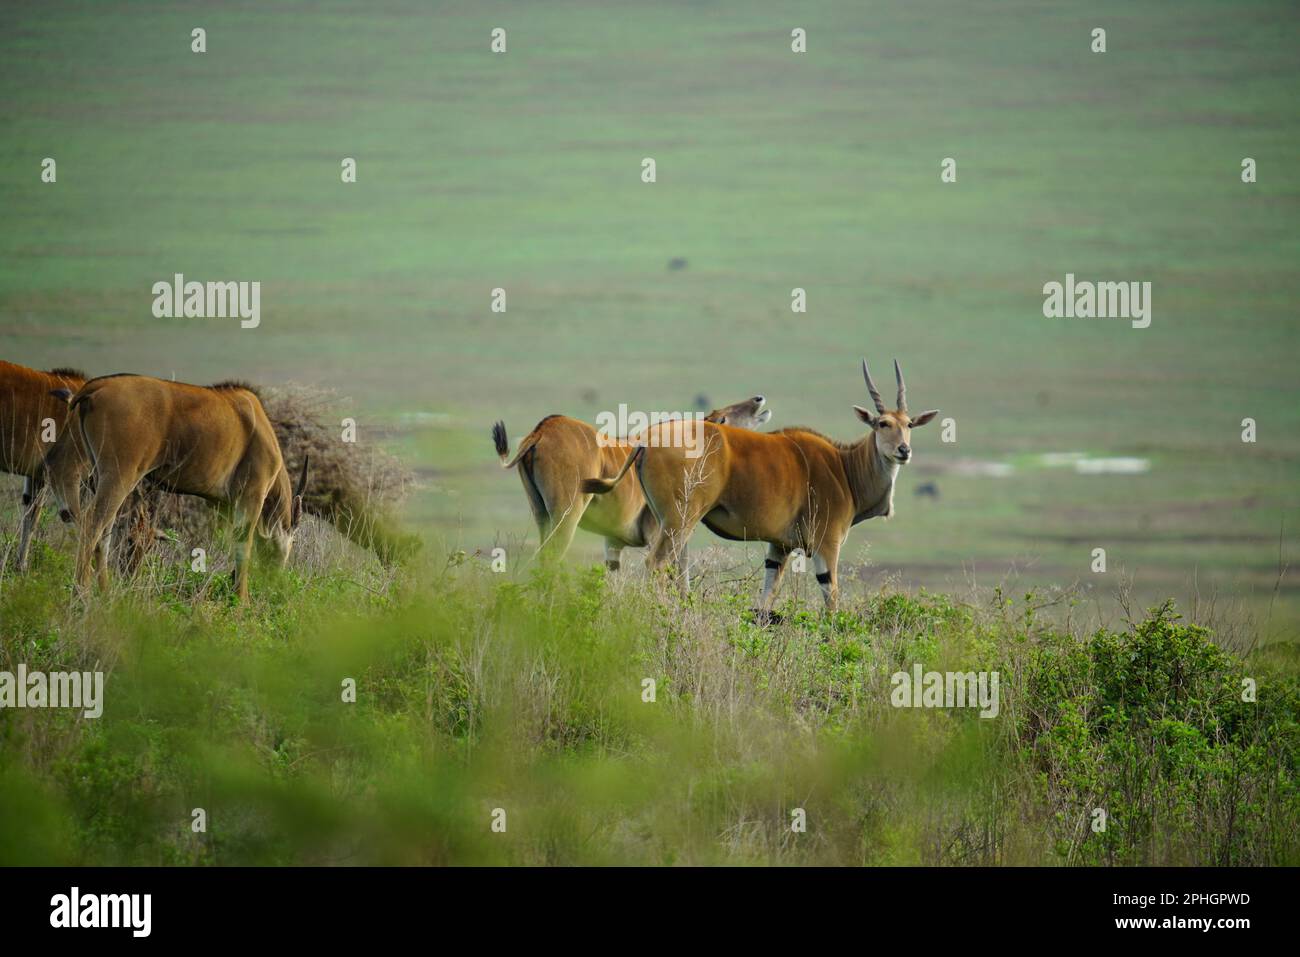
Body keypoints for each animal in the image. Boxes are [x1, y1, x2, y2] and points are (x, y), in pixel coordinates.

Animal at [51, 374, 307, 600]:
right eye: (292, 543)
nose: (275, 580)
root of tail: (97, 386)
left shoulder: (227, 504)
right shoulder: (252, 496)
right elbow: (244, 548)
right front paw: (242, 602)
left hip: (102, 478)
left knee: (102, 533)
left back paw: (105, 595)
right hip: (119, 477)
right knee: (91, 524)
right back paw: (81, 593)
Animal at [492, 396, 771, 568]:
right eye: (722, 419)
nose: (758, 399)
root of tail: (542, 429)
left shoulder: (613, 544)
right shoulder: (661, 535)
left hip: (542, 516)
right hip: (566, 515)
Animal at [582, 360, 937, 613]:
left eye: (908, 424)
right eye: (882, 424)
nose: (904, 450)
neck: (843, 467)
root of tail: (646, 439)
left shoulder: (778, 547)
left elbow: (766, 601)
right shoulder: (827, 544)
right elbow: (831, 600)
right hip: (678, 521)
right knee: (656, 565)